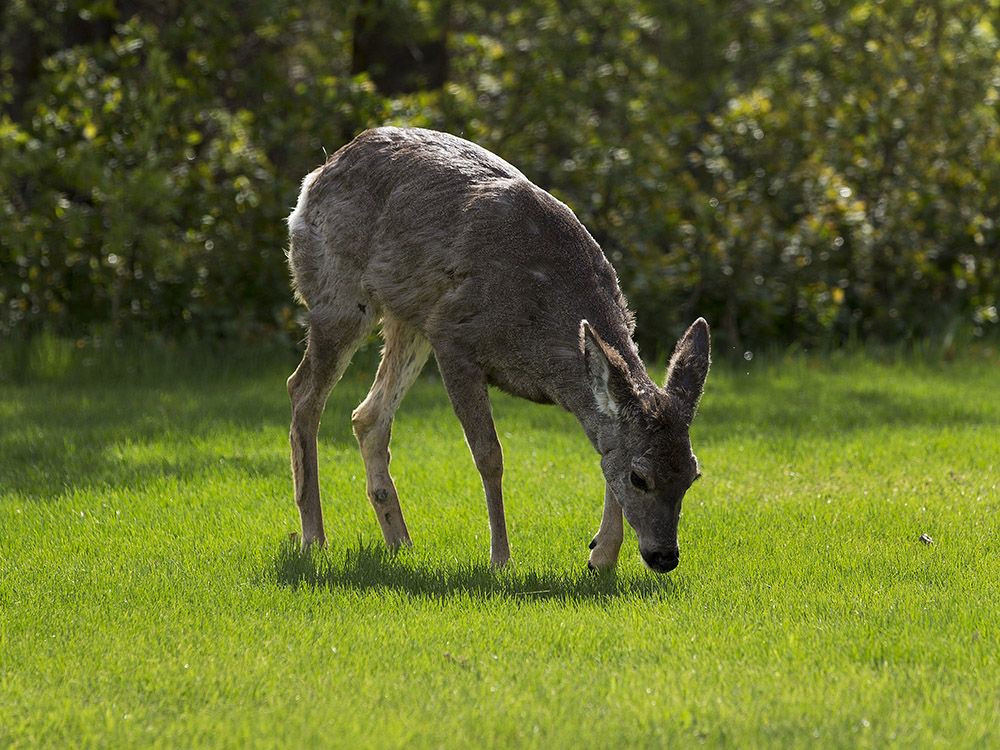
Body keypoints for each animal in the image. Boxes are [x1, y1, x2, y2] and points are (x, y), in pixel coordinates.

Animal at [286, 127, 710, 573]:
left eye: (691, 476)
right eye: (640, 477)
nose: (665, 556)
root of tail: (315, 177)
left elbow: (603, 445)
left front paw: (601, 556)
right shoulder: (454, 337)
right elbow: (490, 455)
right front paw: (501, 559)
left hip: (410, 318)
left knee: (367, 414)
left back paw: (401, 542)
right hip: (341, 294)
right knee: (303, 392)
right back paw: (314, 538)